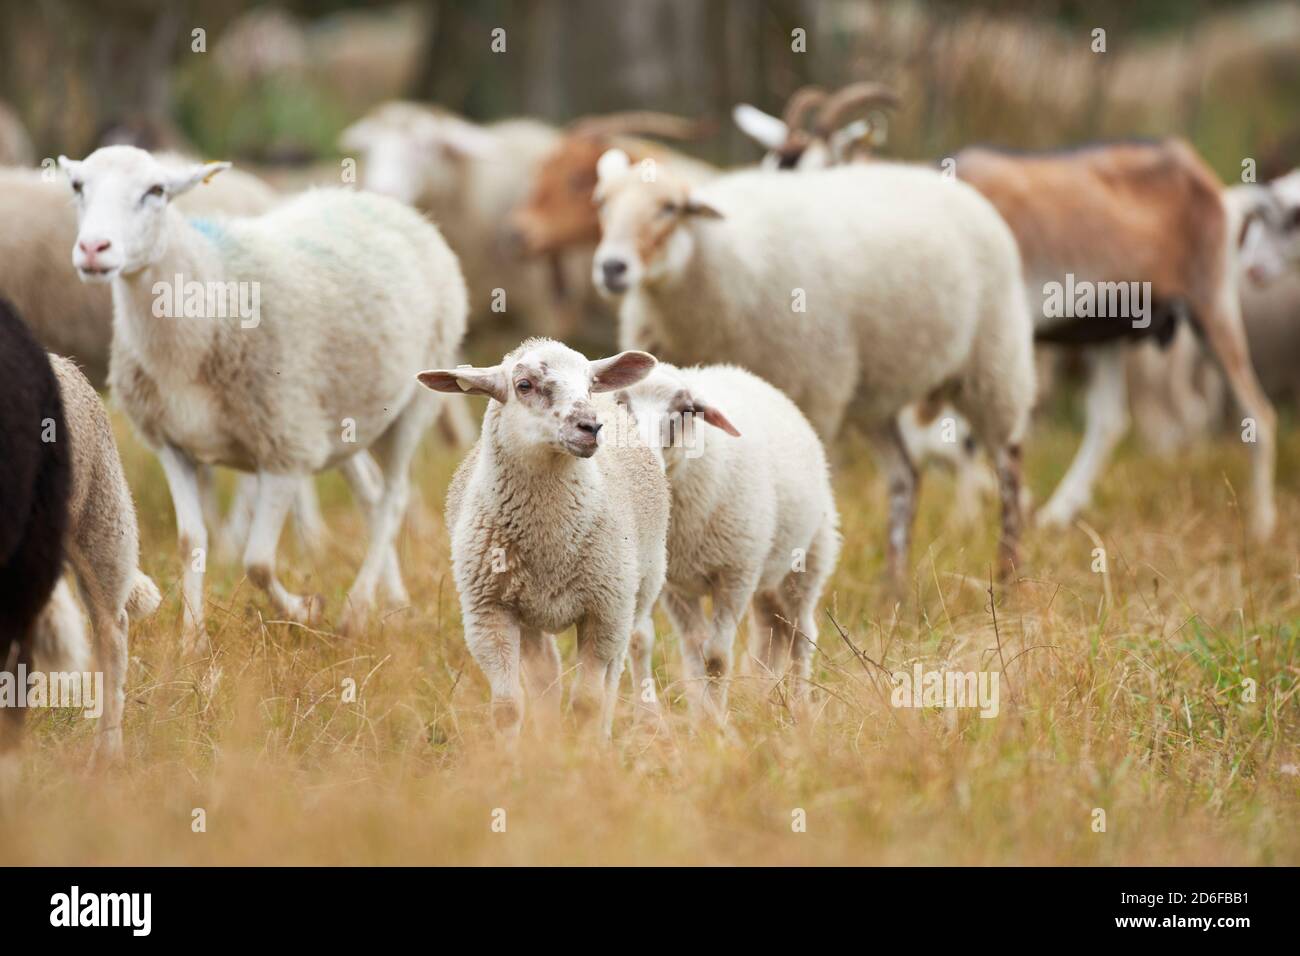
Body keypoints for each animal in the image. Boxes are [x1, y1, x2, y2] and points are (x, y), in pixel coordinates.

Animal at [58, 145, 469, 649]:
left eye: (156, 191)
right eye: (78, 186)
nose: (93, 250)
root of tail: (394, 207)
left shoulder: (285, 449)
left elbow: (256, 561)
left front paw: (305, 609)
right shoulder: (172, 444)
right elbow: (191, 541)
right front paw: (192, 639)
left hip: (414, 401)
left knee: (392, 500)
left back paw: (355, 611)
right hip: (340, 422)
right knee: (372, 499)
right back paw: (392, 601)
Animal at [418, 339, 668, 741]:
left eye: (589, 383)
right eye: (524, 385)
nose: (590, 427)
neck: (550, 542)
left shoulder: (605, 610)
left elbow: (589, 701)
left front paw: (586, 751)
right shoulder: (488, 611)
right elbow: (507, 707)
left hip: (638, 589)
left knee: (620, 664)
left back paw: (607, 734)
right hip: (531, 612)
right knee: (545, 675)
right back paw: (547, 740)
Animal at [592, 149, 1035, 581]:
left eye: (669, 208)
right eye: (603, 203)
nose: (612, 267)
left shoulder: (814, 393)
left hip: (994, 364)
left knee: (1009, 468)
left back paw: (1007, 578)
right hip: (875, 402)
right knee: (905, 477)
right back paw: (893, 590)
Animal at [614, 362, 840, 719]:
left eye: (687, 410)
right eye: (620, 404)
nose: (643, 456)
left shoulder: (736, 574)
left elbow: (717, 657)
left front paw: (716, 719)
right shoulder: (671, 585)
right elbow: (670, 645)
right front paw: (685, 718)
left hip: (808, 559)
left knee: (801, 636)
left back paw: (800, 705)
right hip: (764, 574)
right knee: (768, 630)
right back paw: (762, 695)